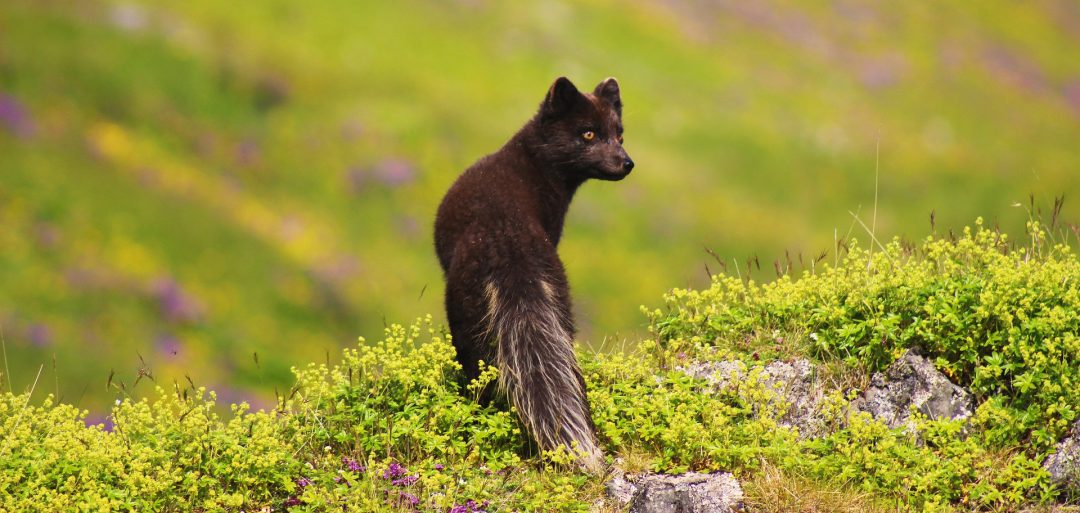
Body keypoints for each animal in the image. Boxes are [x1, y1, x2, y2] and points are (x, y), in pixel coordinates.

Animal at [434, 76, 633, 471]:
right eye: (588, 133)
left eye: (619, 133)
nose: (626, 163)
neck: (531, 165)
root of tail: (510, 246)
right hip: (560, 310)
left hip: (464, 320)